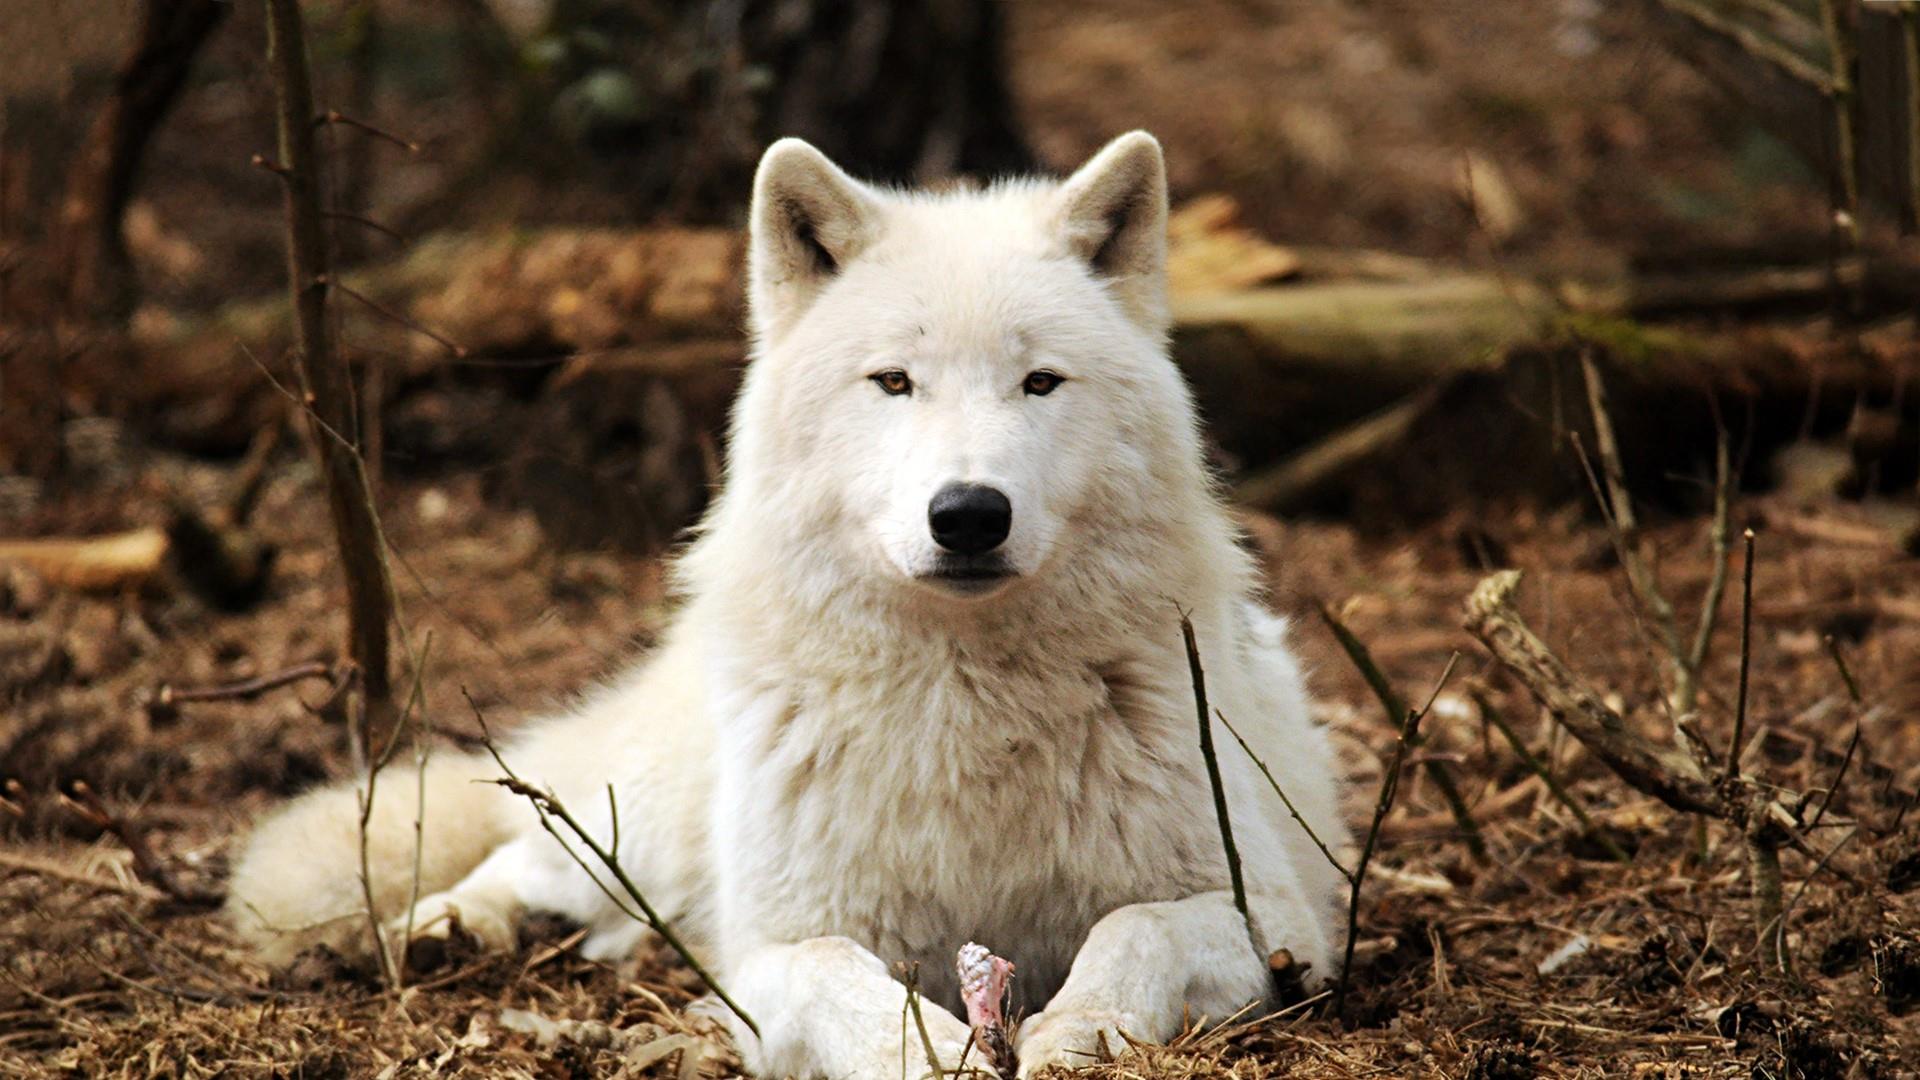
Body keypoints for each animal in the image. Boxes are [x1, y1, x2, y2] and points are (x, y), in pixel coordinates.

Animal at [228, 131, 1350, 1079]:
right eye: (893, 381)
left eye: (1040, 382)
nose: (969, 515)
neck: (967, 704)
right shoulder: (768, 947)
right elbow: (839, 976)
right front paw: (931, 1052)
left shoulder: (1277, 921)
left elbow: (1133, 929)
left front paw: (1079, 1030)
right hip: (640, 824)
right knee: (529, 853)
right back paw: (452, 928)